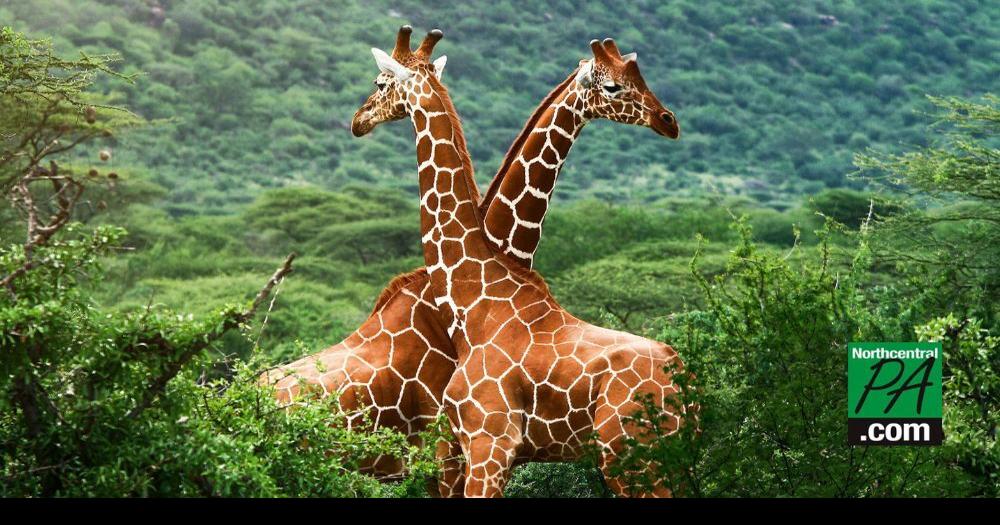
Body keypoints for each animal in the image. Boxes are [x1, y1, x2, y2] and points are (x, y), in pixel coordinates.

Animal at [348, 27, 692, 498]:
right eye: (614, 85)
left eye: (380, 83)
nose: (358, 120)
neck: (476, 297)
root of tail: (685, 385)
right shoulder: (472, 450)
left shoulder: (487, 442)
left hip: (630, 456)